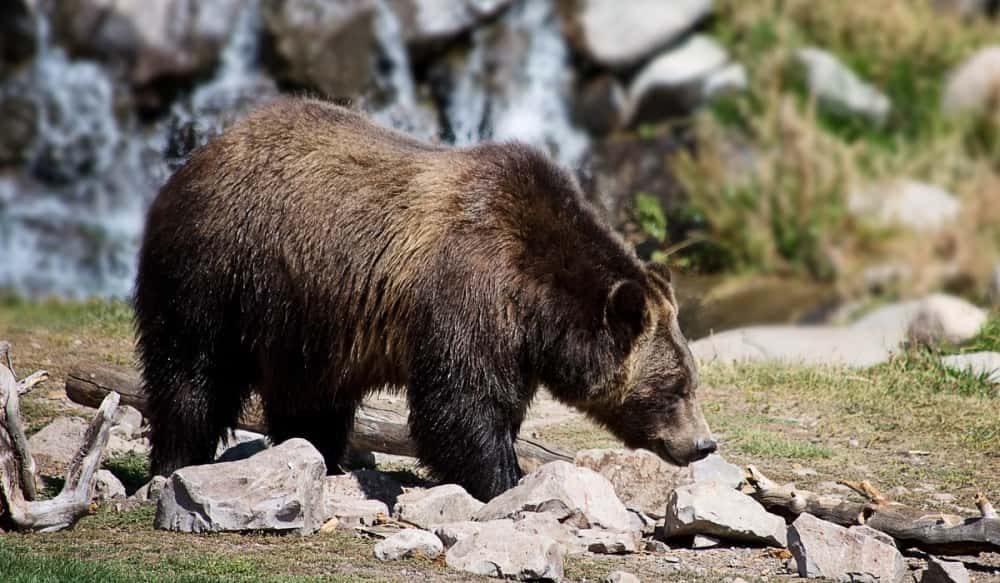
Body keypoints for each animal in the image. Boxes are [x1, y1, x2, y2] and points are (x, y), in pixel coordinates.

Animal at [134, 97, 715, 502]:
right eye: (676, 387)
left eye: (691, 379)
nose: (703, 444)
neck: (537, 303)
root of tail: (200, 155)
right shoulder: (470, 292)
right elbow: (460, 404)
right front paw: (504, 480)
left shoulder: (514, 341)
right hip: (219, 270)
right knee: (192, 371)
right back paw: (176, 461)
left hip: (304, 316)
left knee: (310, 397)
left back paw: (321, 456)